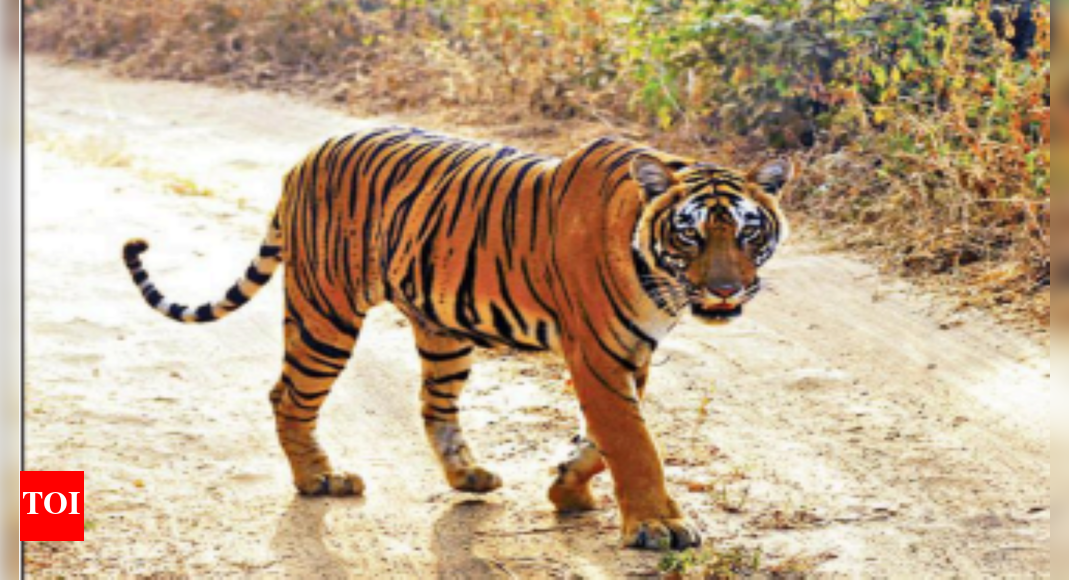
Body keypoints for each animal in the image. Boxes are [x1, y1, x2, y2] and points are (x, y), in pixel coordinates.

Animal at [123, 126, 792, 550]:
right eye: (690, 234)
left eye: (748, 233)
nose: (727, 291)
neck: (657, 277)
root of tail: (305, 157)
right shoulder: (598, 355)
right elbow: (634, 443)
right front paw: (657, 527)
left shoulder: (632, 354)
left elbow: (603, 440)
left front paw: (566, 486)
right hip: (326, 312)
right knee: (287, 395)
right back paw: (319, 479)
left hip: (442, 331)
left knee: (433, 406)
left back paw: (469, 477)